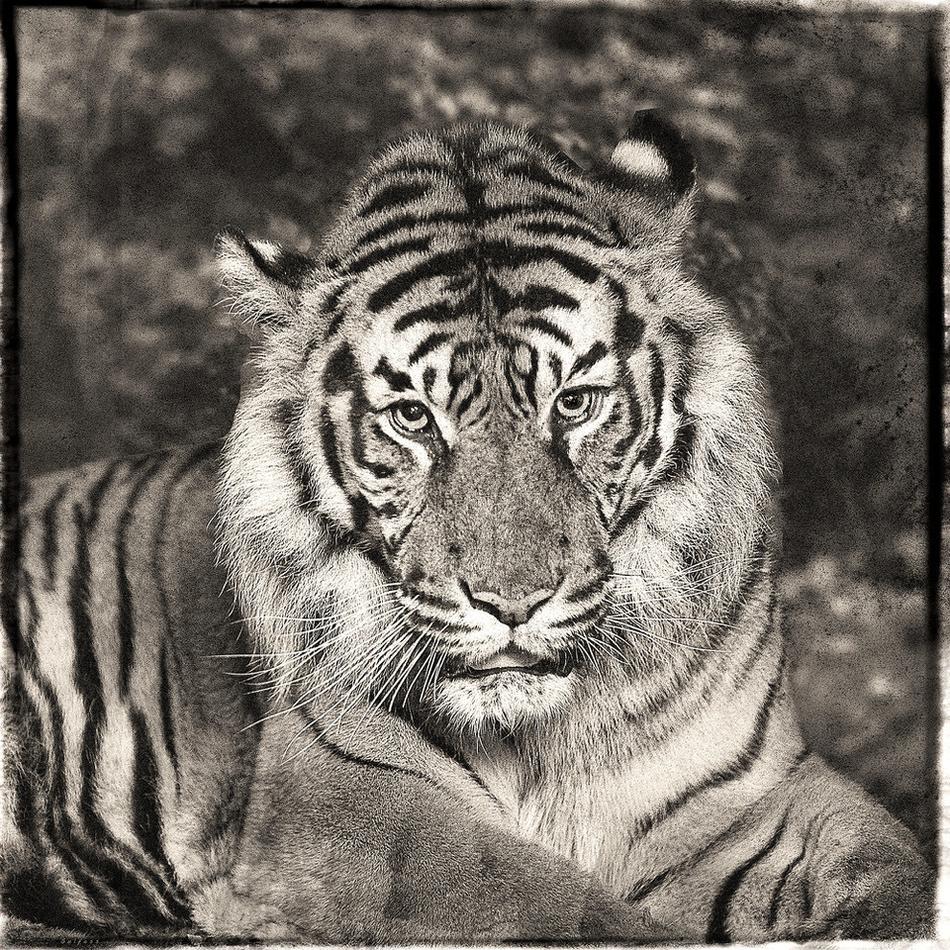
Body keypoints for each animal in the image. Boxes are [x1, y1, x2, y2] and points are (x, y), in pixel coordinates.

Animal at [2, 112, 933, 943]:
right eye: (413, 418)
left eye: (575, 404)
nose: (512, 604)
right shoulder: (353, 813)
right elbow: (567, 910)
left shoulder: (753, 795)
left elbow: (896, 866)